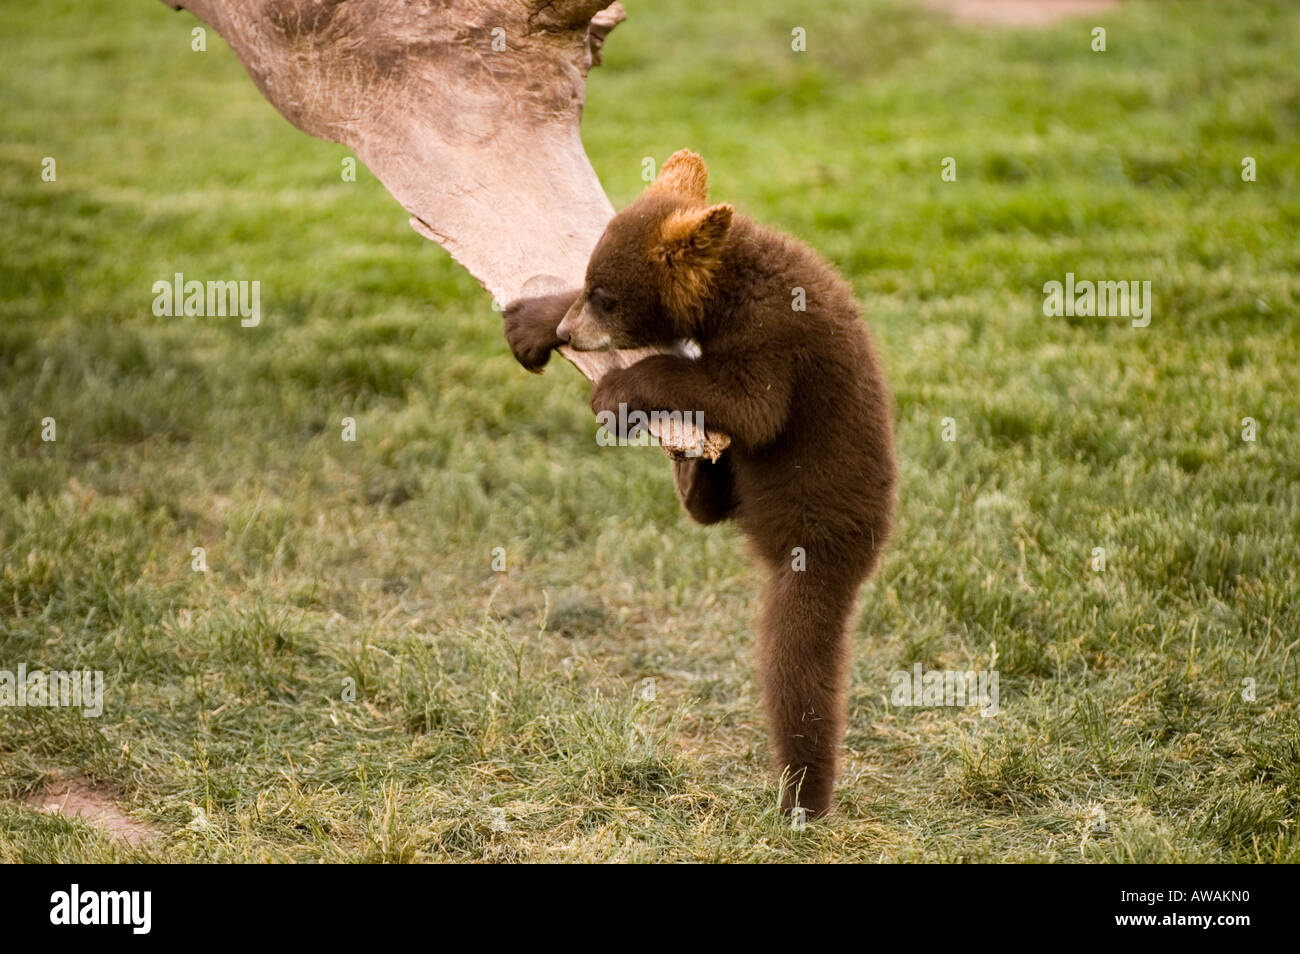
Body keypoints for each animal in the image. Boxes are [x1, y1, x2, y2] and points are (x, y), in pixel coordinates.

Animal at [502, 150, 896, 817]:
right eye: (589, 284)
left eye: (607, 297)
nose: (574, 331)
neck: (729, 288)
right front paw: (531, 322)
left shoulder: (774, 333)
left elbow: (747, 404)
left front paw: (616, 390)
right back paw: (694, 476)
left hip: (817, 545)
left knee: (797, 663)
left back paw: (802, 795)